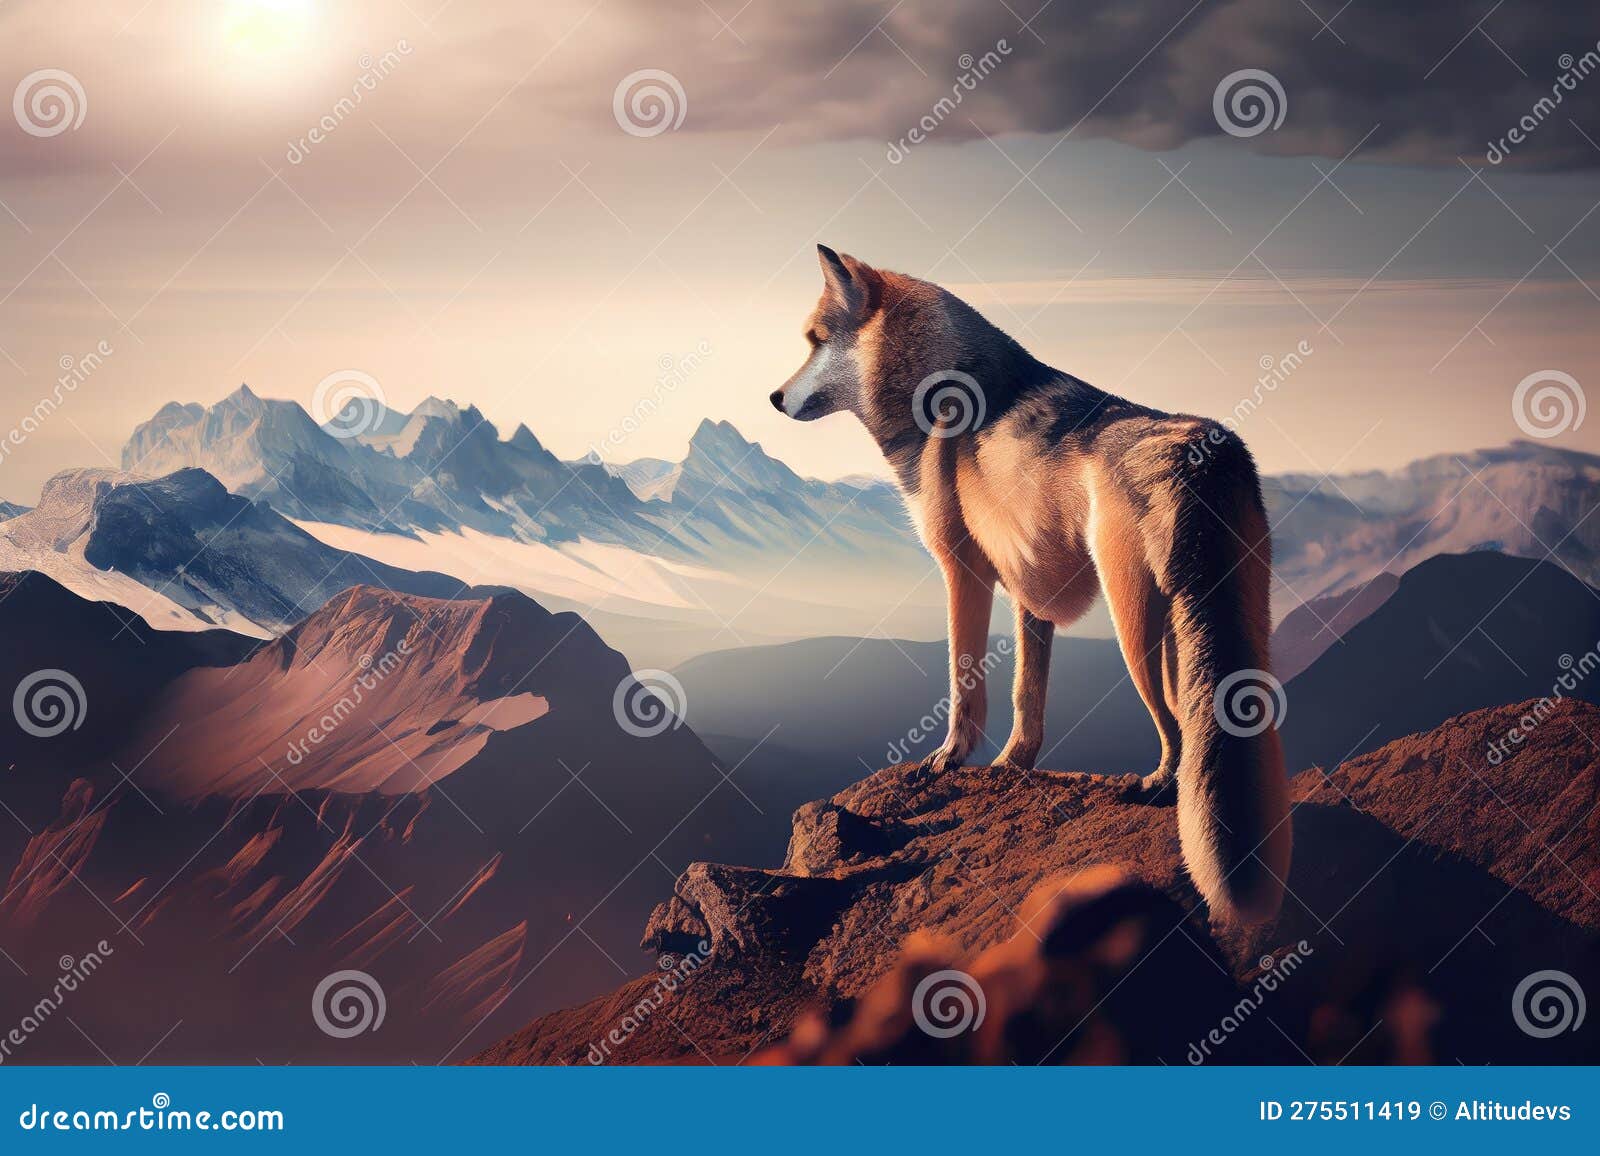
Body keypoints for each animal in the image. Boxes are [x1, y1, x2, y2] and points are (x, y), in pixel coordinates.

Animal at [770, 245, 1292, 924]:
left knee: (1176, 723)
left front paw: (949, 759)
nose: (774, 396)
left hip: (1135, 626)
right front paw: (1013, 764)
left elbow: (965, 685)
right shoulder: (1028, 587)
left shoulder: (963, 572)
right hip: (1207, 627)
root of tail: (1205, 453)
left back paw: (1156, 787)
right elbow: (1028, 696)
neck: (938, 392)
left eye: (814, 340)